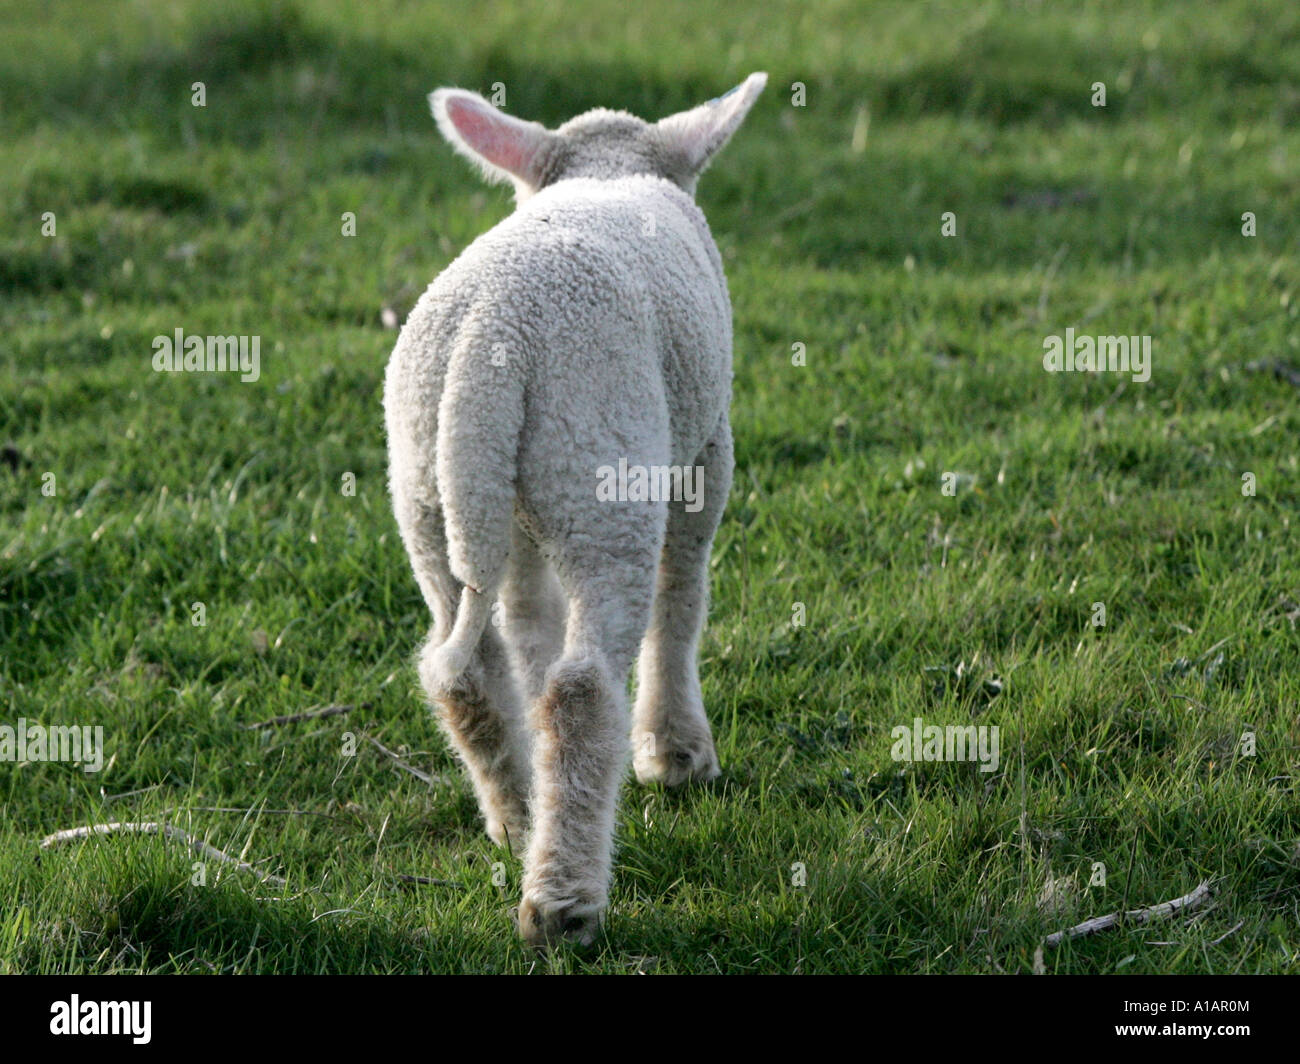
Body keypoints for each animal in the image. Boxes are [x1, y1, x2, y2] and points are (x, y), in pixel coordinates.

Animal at [383, 72, 767, 948]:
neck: (605, 166)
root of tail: (488, 347)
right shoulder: (706, 451)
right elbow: (682, 593)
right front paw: (677, 753)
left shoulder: (517, 518)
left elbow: (529, 627)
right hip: (601, 472)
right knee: (583, 686)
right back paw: (563, 900)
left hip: (435, 483)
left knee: (464, 666)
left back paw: (520, 818)